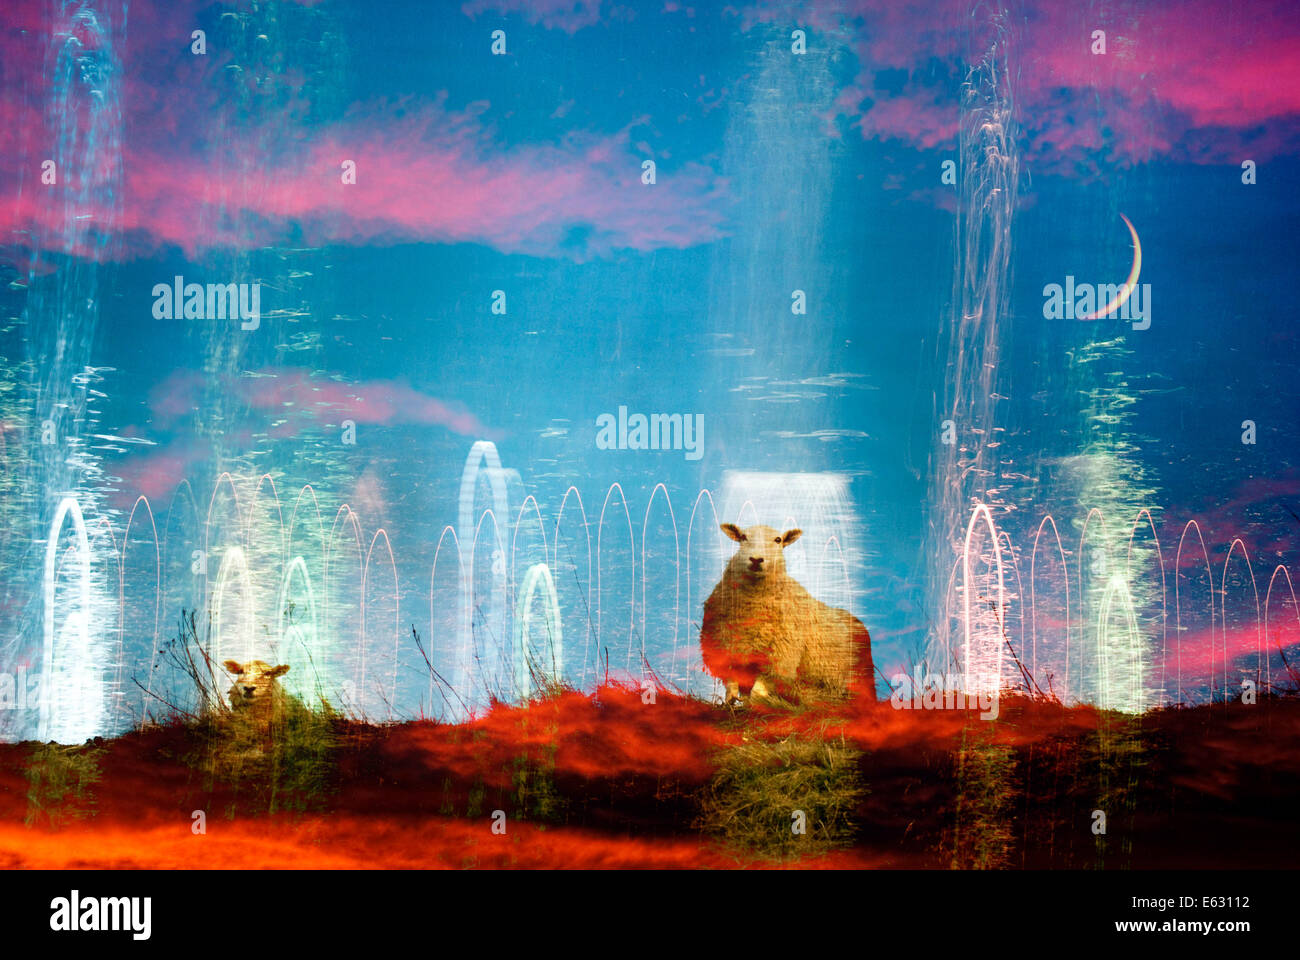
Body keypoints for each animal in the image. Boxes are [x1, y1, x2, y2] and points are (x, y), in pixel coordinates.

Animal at [700, 524, 876, 706]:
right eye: (743, 537)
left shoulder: (781, 656)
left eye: (778, 540)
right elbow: (733, 684)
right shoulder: (726, 650)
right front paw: (730, 703)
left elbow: (757, 691)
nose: (756, 559)